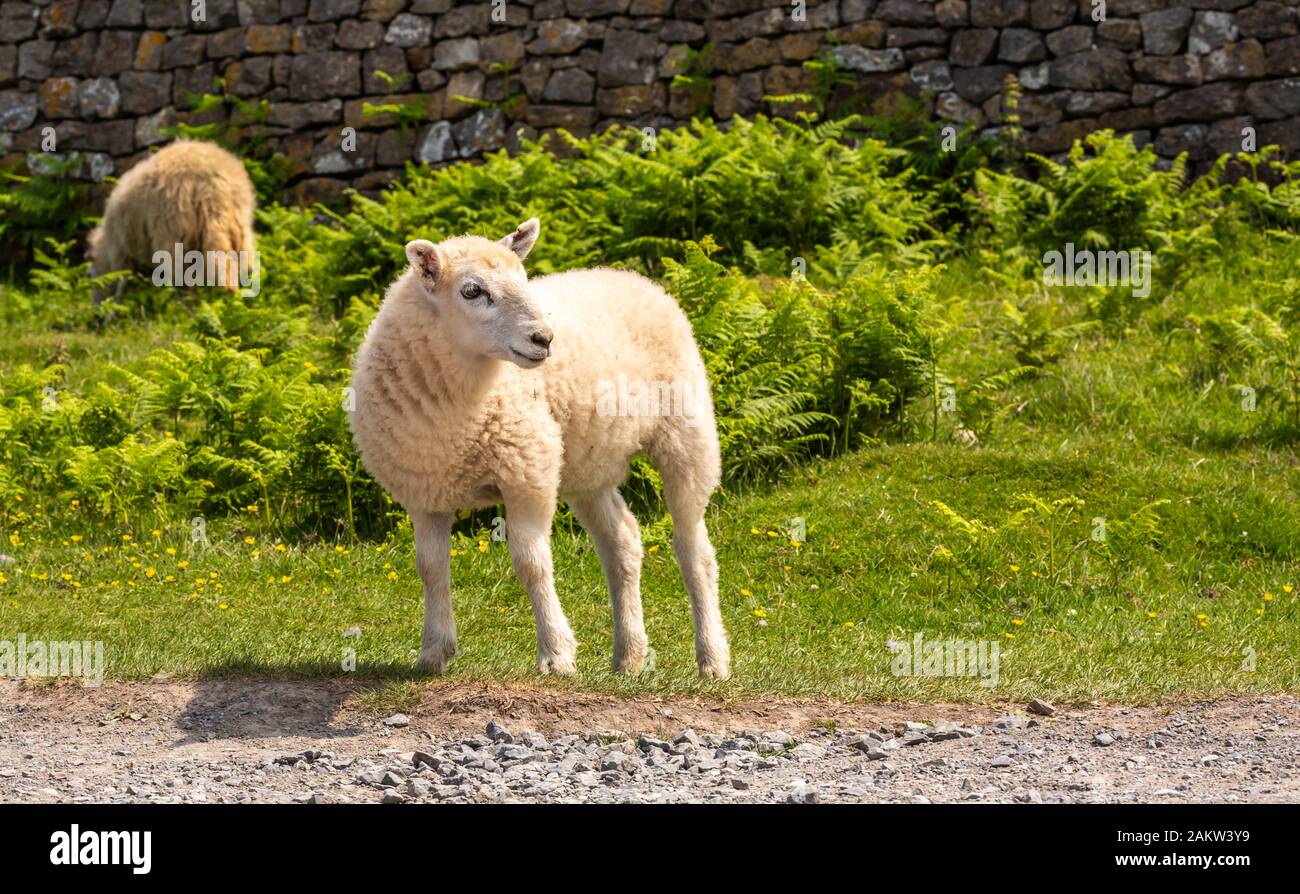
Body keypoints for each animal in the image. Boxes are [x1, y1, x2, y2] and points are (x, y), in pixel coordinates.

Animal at [348, 218, 731, 679]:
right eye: (472, 291)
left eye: (523, 278)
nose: (544, 339)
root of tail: (630, 277)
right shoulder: (425, 493)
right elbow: (431, 569)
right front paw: (434, 653)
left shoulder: (527, 471)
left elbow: (531, 563)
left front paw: (556, 653)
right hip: (587, 465)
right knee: (622, 540)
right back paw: (629, 656)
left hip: (688, 432)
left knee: (695, 552)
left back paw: (712, 659)